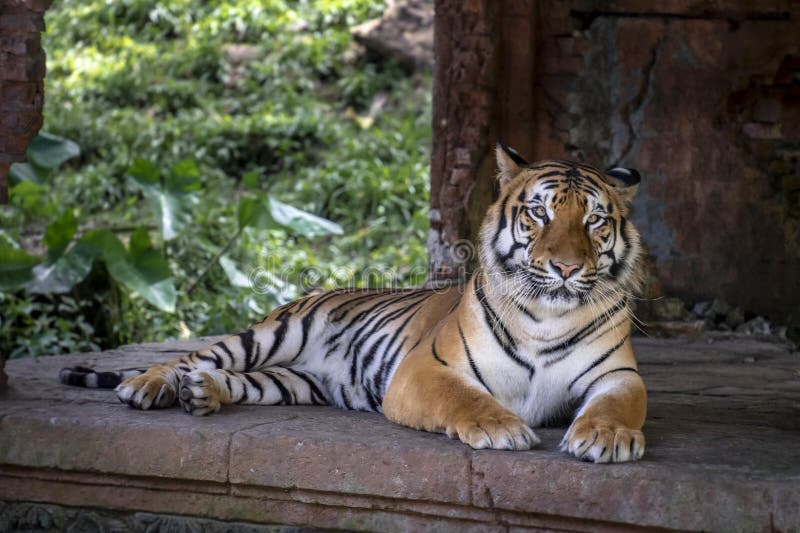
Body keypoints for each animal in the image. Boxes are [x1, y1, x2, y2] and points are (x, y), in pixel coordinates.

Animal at [60, 144, 647, 463]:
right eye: (538, 213)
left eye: (594, 220)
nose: (565, 268)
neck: (546, 317)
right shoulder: (425, 370)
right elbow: (466, 399)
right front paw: (501, 428)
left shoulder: (617, 375)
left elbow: (618, 405)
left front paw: (606, 437)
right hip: (270, 335)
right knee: (191, 357)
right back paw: (150, 386)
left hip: (292, 382)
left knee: (233, 380)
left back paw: (201, 394)